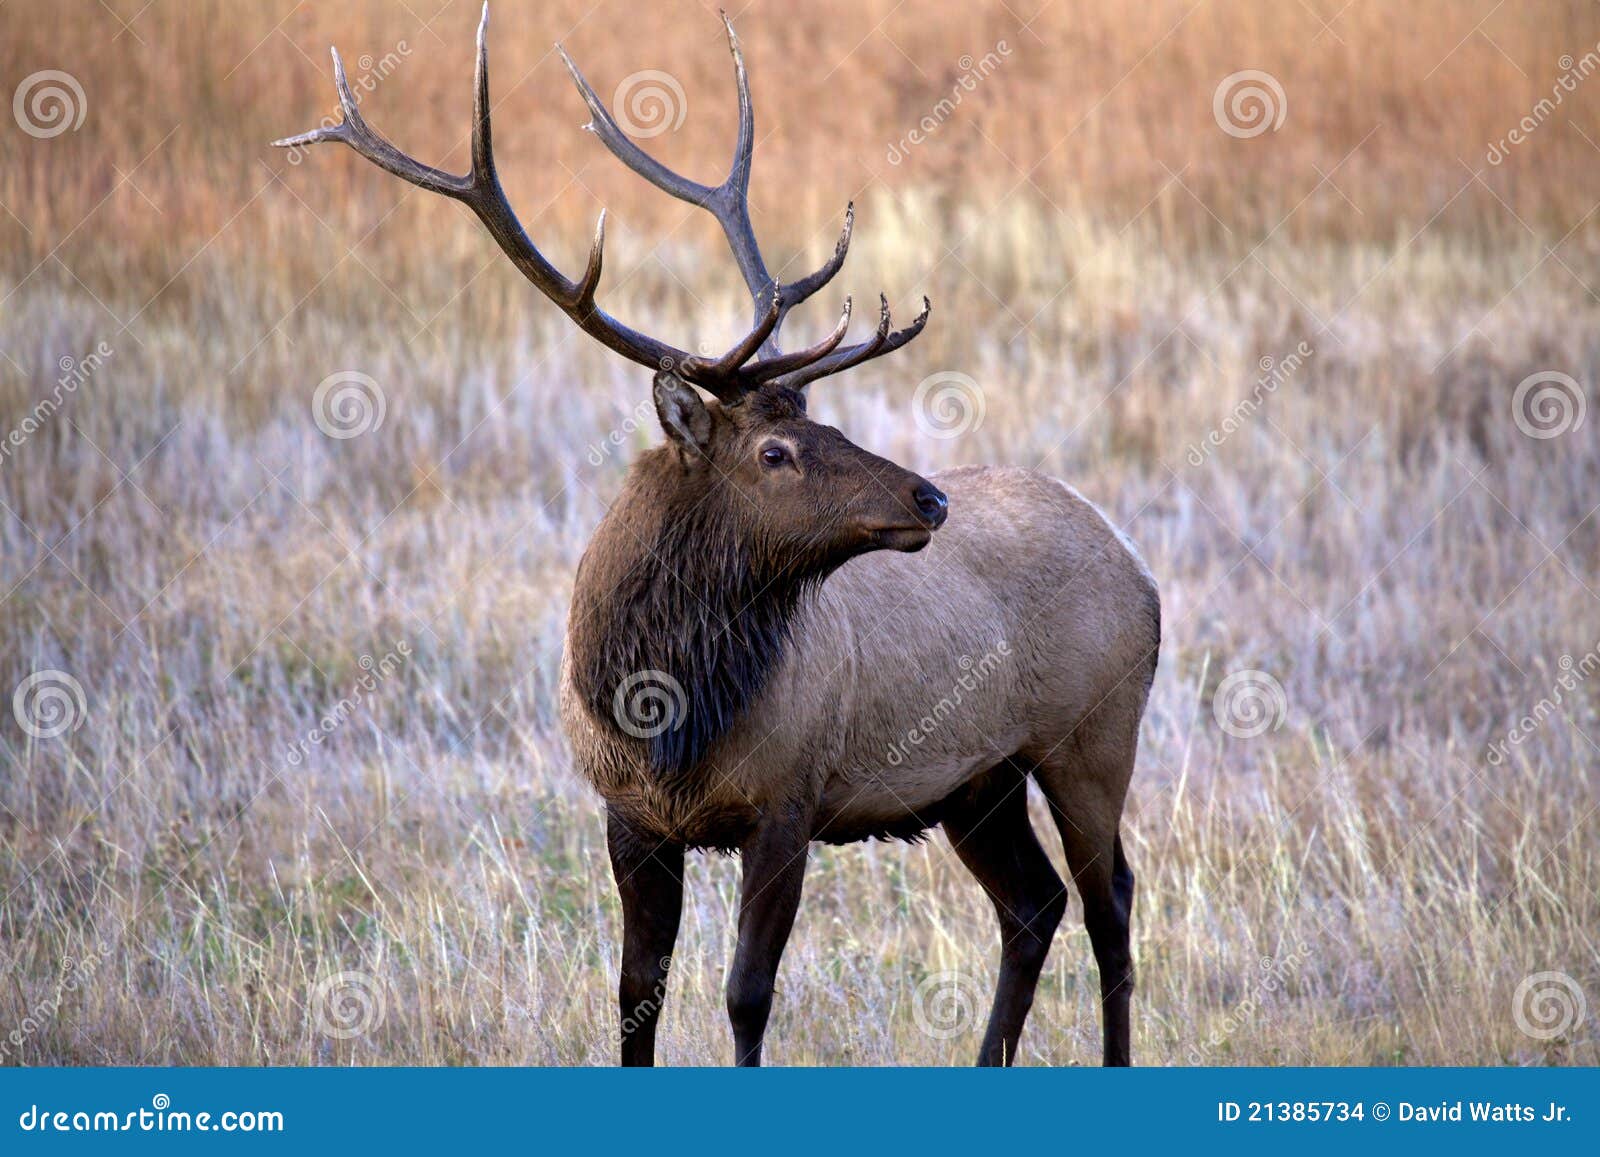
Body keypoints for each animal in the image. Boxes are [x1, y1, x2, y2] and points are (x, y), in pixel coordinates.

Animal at [275, 4, 1160, 1068]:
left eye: (822, 421)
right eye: (779, 448)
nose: (930, 498)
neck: (665, 713)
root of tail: (1140, 569)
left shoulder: (788, 803)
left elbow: (746, 993)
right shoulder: (627, 816)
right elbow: (635, 992)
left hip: (1092, 734)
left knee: (1111, 901)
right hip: (976, 782)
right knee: (1033, 905)